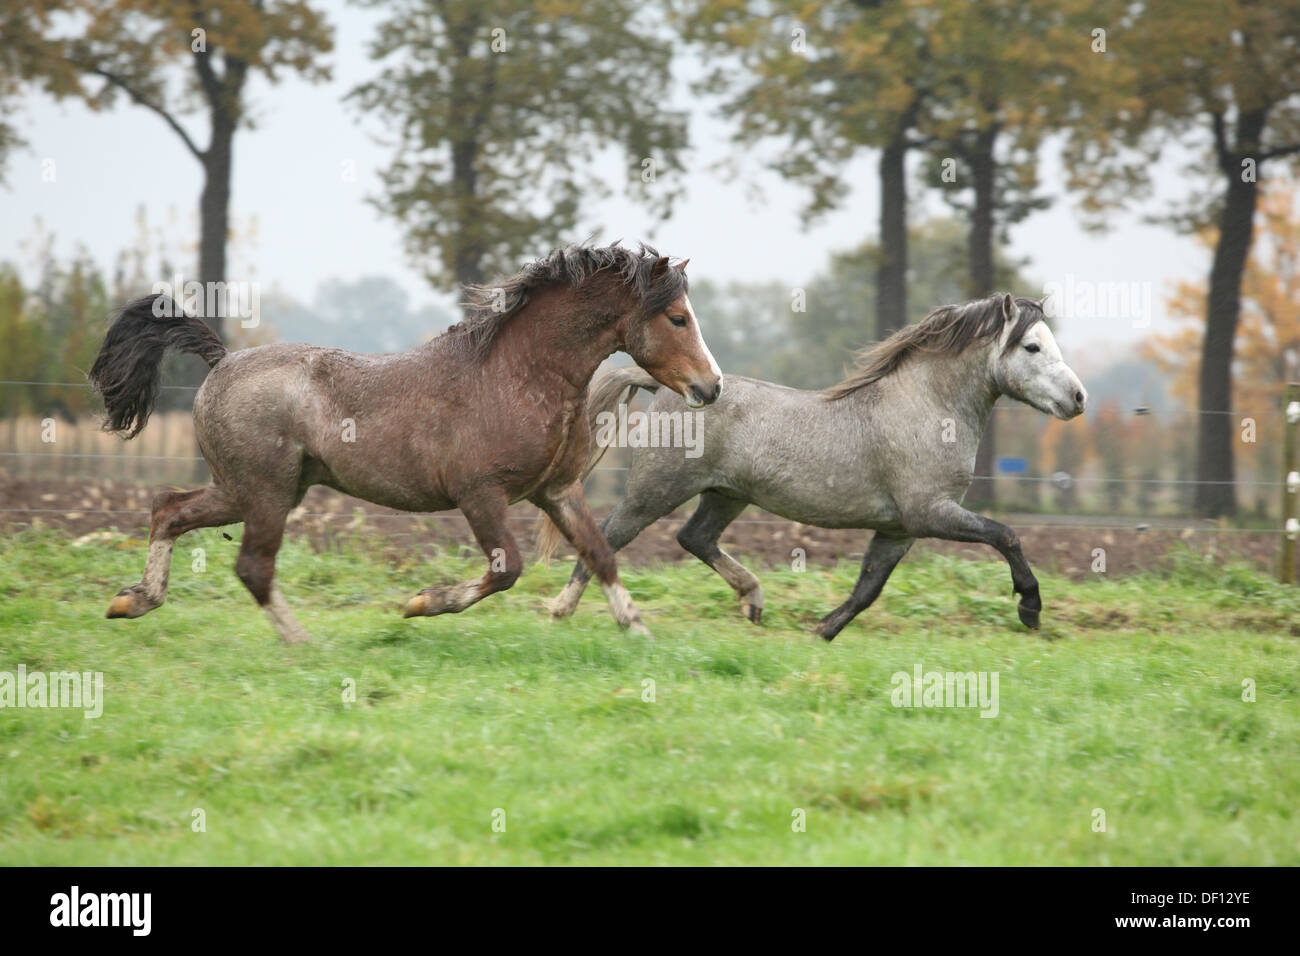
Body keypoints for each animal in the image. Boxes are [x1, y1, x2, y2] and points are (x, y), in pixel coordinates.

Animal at [89, 243, 722, 643]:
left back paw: (132, 601)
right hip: (265, 493)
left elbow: (600, 554)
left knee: (167, 510)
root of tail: (222, 361)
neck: (518, 375)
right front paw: (421, 603)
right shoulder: (480, 495)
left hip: (248, 490)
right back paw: (304, 643)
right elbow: (507, 569)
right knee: (252, 567)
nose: (711, 386)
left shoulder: (559, 491)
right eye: (676, 318)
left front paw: (638, 630)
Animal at [540, 293, 1087, 640]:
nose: (1078, 398)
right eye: (1032, 346)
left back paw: (754, 601)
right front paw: (1030, 609)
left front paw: (822, 630)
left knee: (694, 538)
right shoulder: (931, 513)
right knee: (607, 537)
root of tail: (675, 388)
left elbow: (868, 587)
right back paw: (564, 610)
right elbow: (1006, 535)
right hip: (656, 490)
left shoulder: (900, 529)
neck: (926, 406)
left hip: (726, 495)